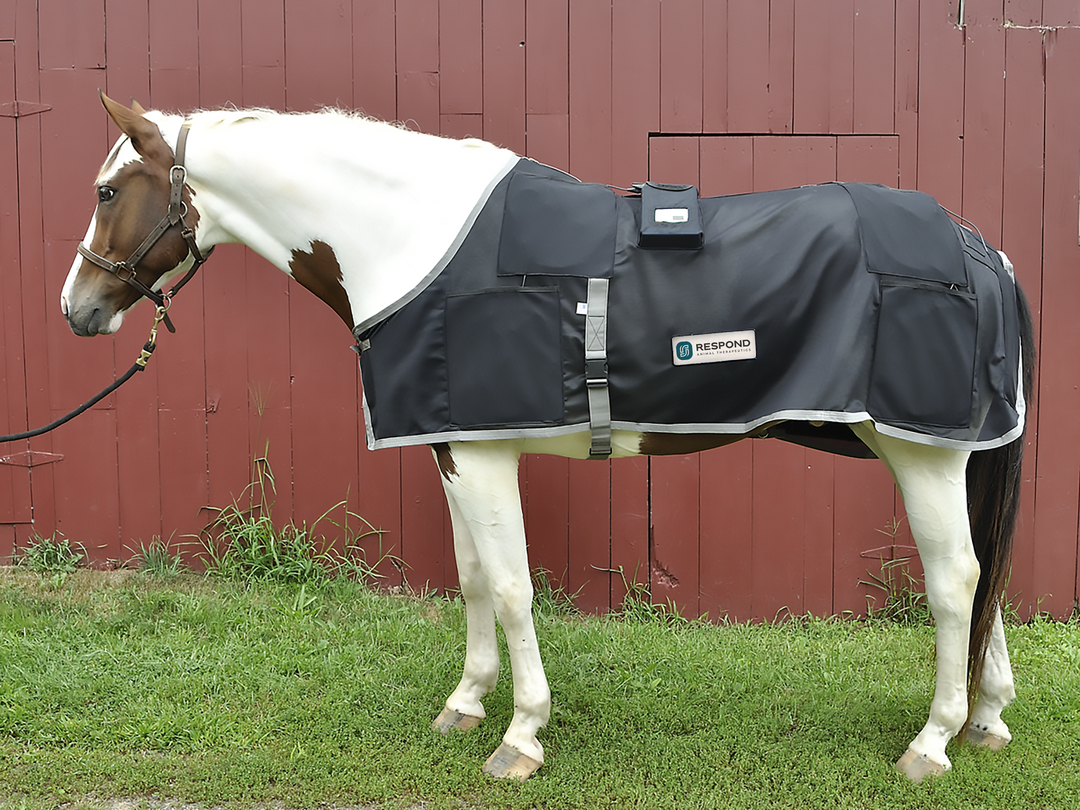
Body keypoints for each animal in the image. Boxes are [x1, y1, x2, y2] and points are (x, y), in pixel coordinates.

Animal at [62, 93, 1034, 783]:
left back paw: (933, 742)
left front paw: (521, 736)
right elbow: (472, 579)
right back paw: (987, 719)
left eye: (108, 190)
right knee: (984, 577)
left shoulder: (486, 453)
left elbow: (514, 587)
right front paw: (466, 703)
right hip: (949, 457)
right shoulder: (455, 446)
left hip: (923, 455)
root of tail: (981, 250)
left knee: (956, 581)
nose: (78, 310)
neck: (408, 238)